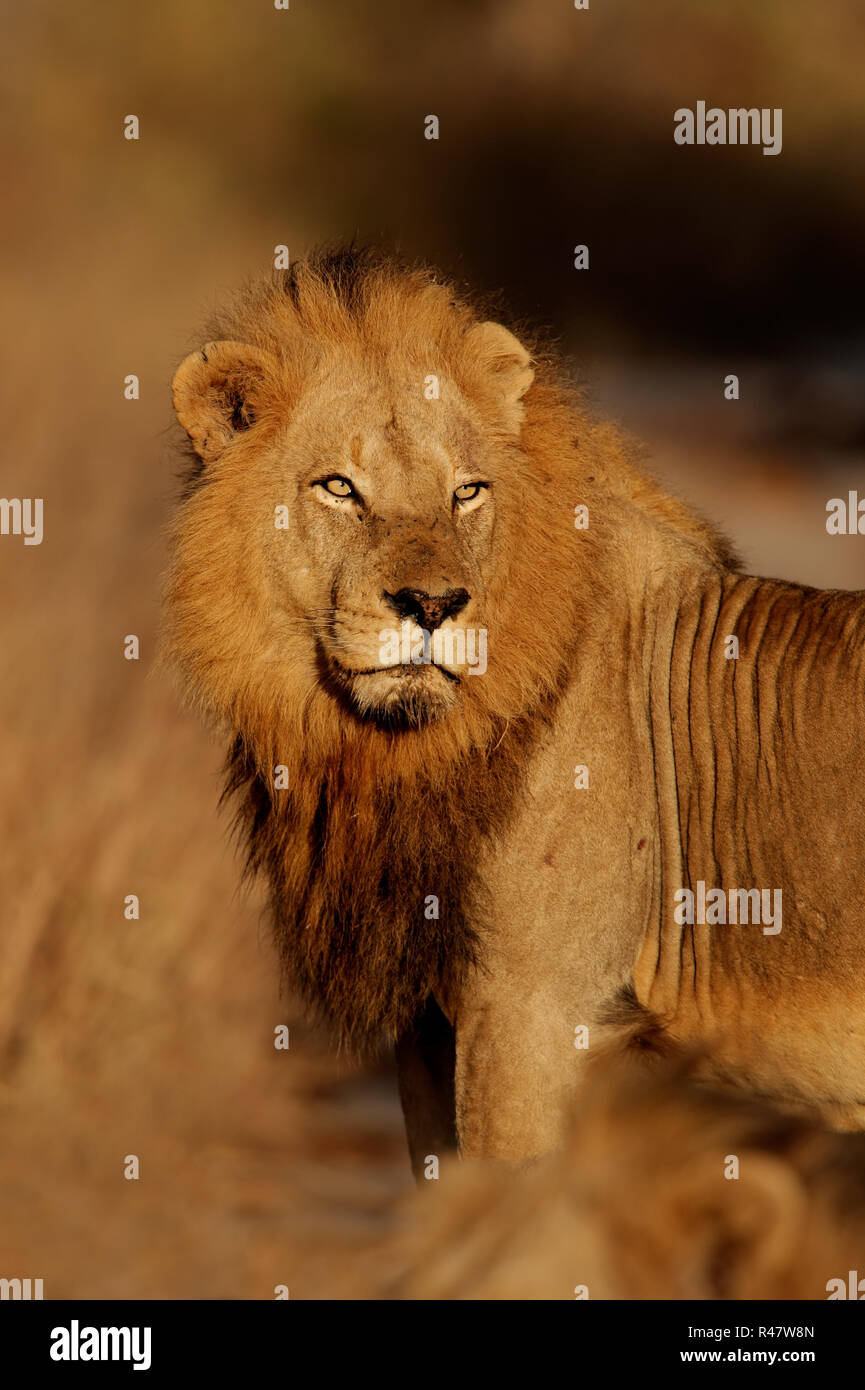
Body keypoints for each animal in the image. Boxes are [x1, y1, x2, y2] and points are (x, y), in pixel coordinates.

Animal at [163, 245, 865, 1175]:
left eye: (466, 493)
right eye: (339, 488)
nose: (432, 604)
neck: (390, 753)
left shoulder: (532, 1012)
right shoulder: (427, 1027)